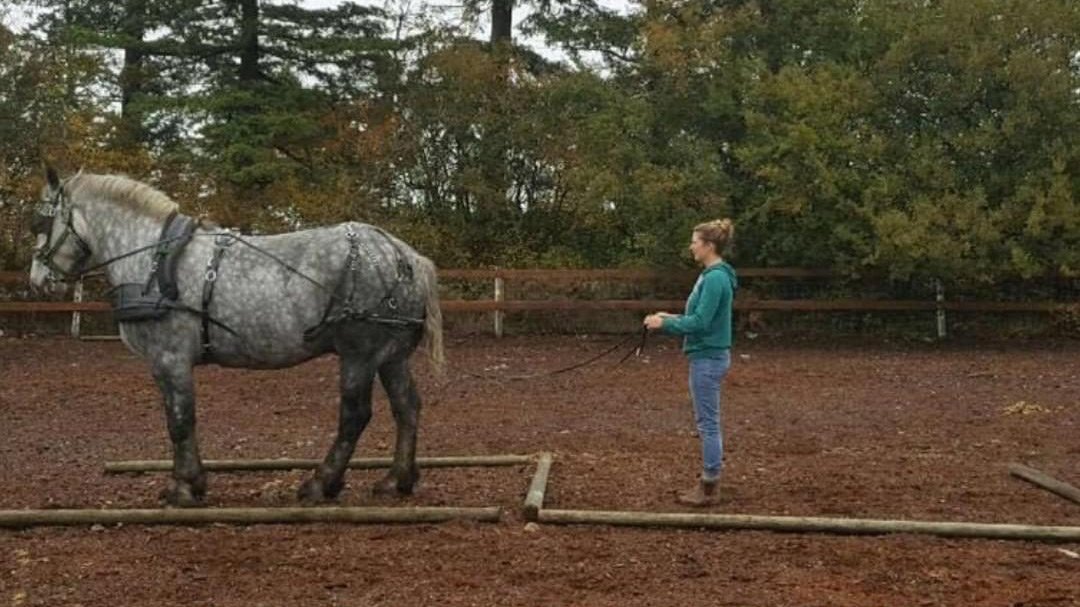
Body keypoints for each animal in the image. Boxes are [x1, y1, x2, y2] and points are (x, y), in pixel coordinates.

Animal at [28, 166, 445, 507]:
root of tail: (403, 255)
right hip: (390, 355)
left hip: (359, 353)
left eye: (40, 224)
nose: (37, 282)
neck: (153, 262)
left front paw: (184, 486)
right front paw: (192, 483)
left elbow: (180, 419)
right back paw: (396, 480)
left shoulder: (169, 358)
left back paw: (321, 483)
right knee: (407, 407)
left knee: (355, 415)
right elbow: (181, 420)